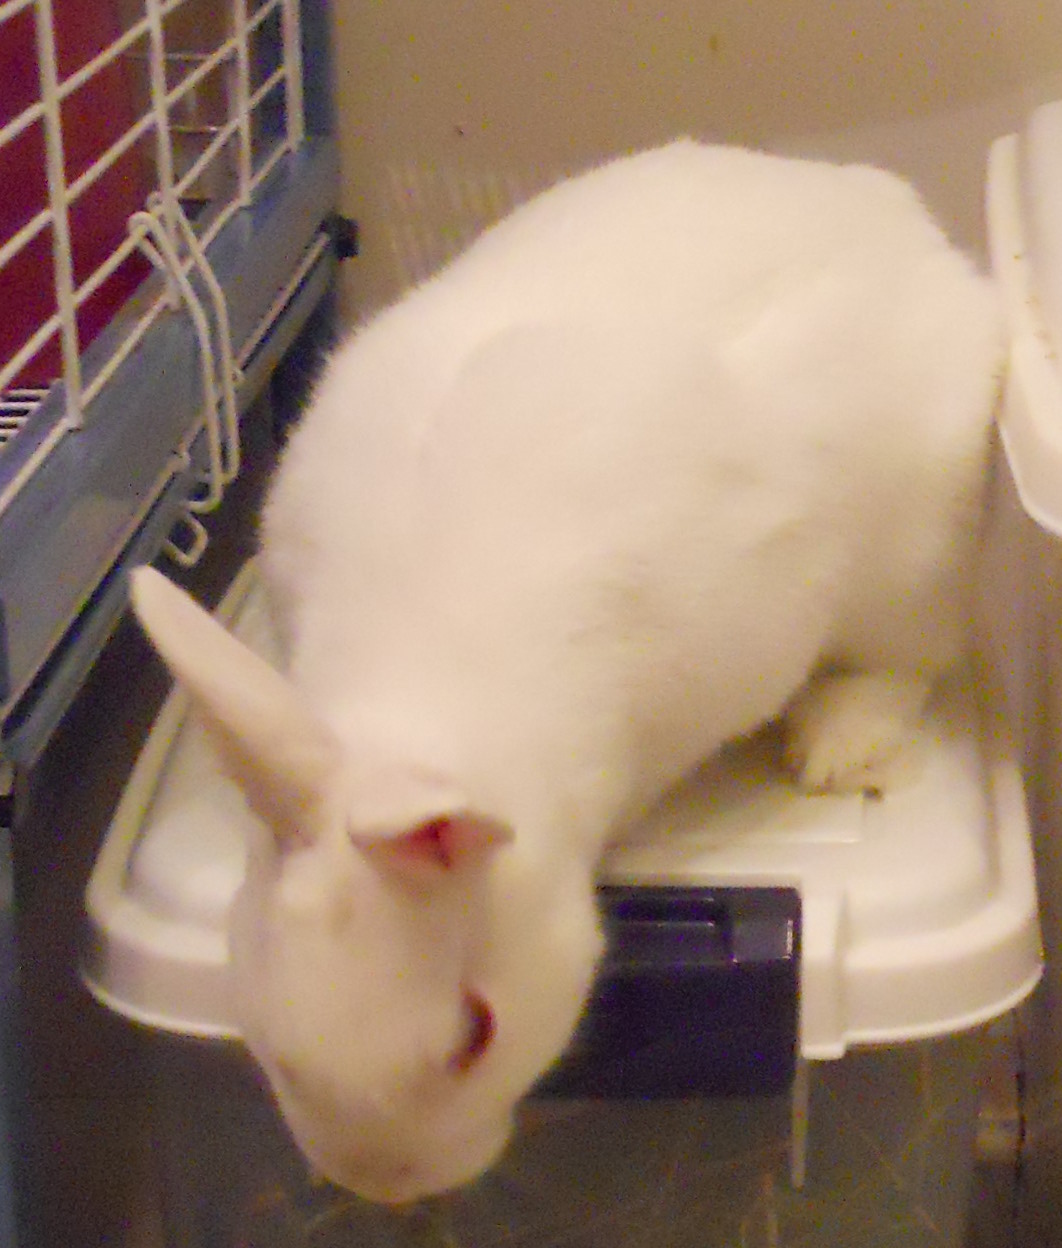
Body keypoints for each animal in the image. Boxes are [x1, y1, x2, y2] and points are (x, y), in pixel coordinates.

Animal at [130, 139, 1003, 1205]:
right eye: (272, 1016)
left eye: (476, 1031)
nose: (383, 1184)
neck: (423, 689)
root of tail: (892, 208)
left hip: (914, 568)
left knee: (910, 661)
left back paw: (837, 748)